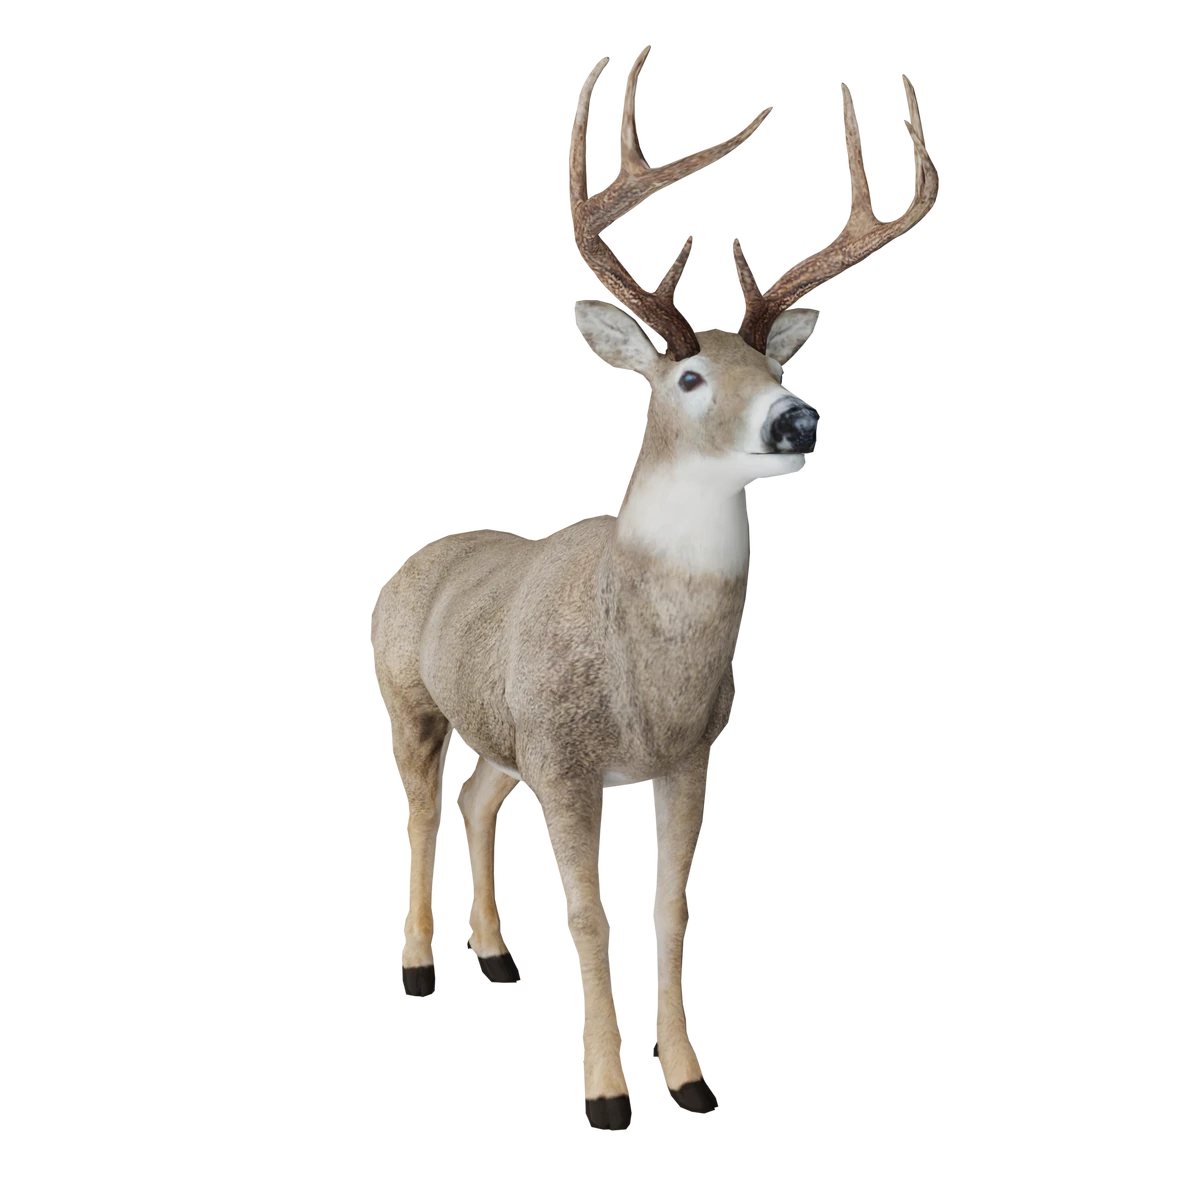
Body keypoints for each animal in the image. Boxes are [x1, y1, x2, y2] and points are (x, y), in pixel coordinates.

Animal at [369, 44, 939, 1133]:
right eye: (687, 379)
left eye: (778, 366)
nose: (800, 418)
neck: (647, 674)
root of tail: (415, 552)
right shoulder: (568, 756)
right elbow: (592, 919)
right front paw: (605, 1095)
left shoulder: (689, 759)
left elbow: (669, 917)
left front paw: (691, 1080)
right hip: (407, 699)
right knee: (420, 804)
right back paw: (418, 966)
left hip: (507, 726)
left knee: (476, 792)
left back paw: (495, 959)